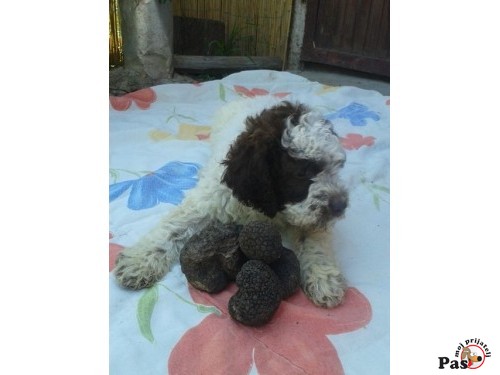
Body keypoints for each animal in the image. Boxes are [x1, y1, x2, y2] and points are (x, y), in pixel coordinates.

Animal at [114, 97, 350, 308]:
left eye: (337, 166)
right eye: (302, 173)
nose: (340, 206)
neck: (266, 207)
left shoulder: (307, 217)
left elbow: (314, 241)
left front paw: (323, 277)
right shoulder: (210, 200)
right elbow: (174, 226)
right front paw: (140, 261)